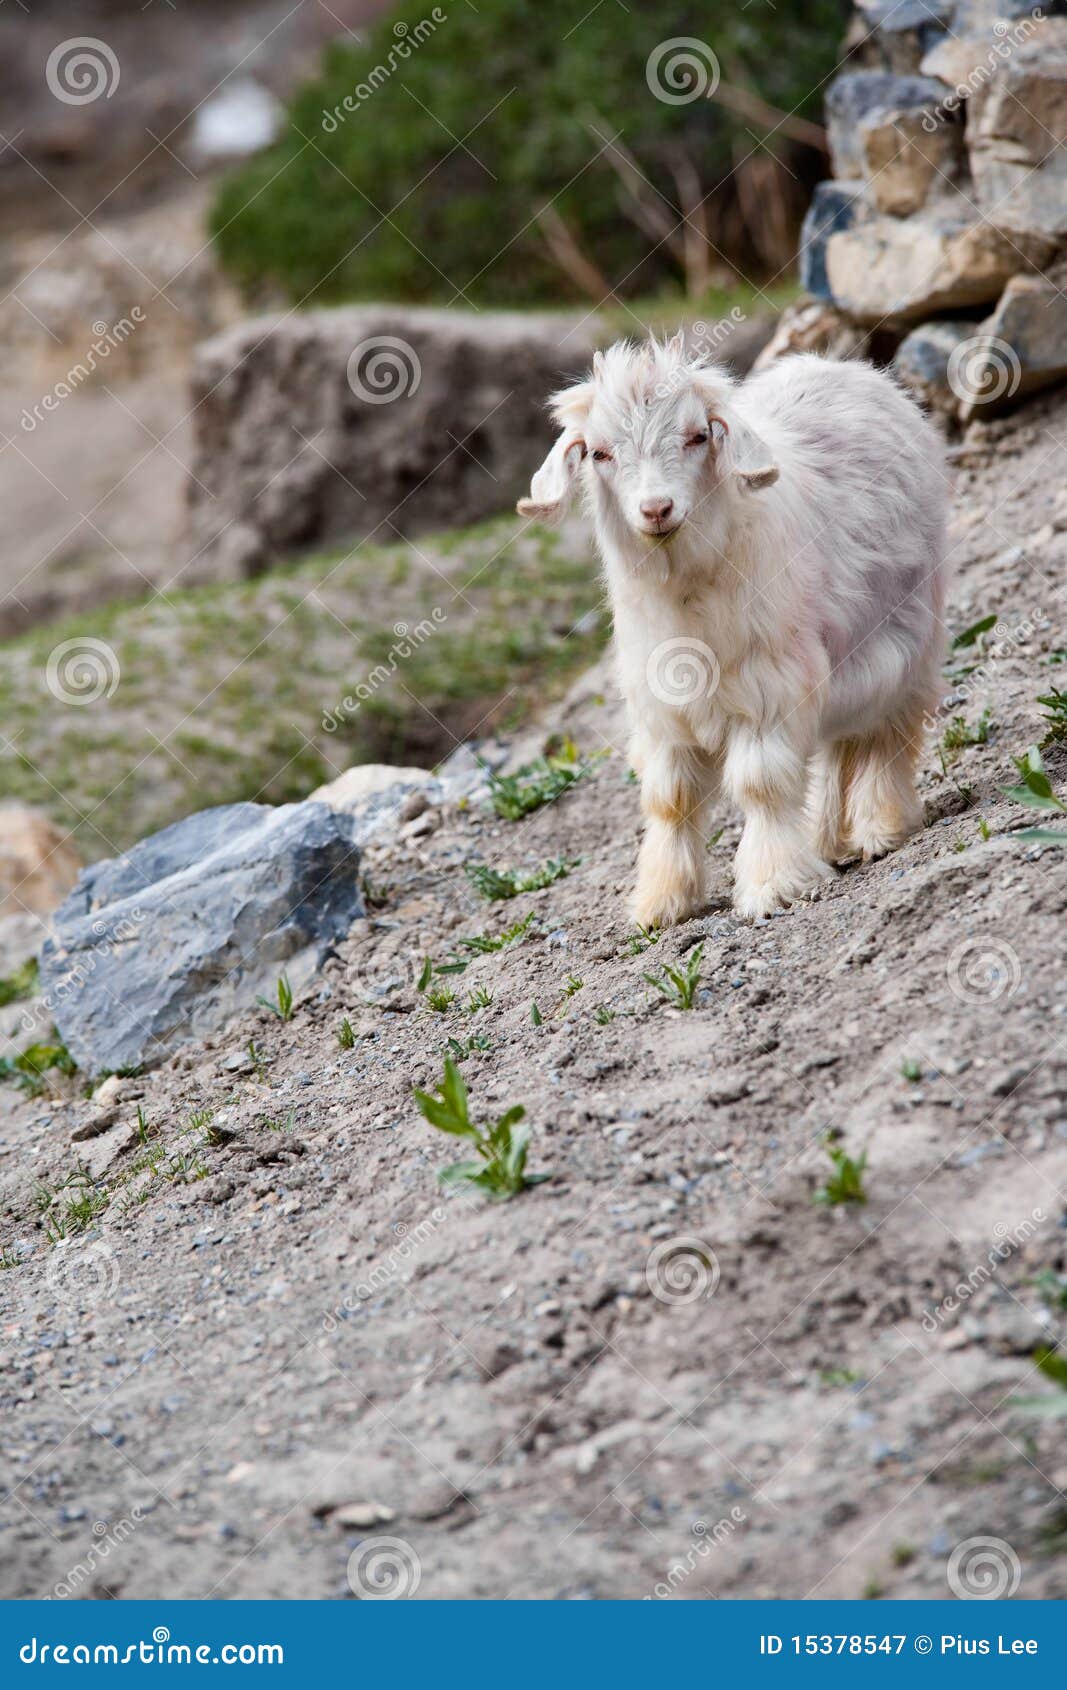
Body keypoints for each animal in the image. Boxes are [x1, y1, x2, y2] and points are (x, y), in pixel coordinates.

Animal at [518, 334, 950, 925]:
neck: (686, 589)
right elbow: (669, 799)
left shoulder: (769, 687)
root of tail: (853, 372)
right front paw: (663, 902)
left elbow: (760, 784)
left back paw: (881, 828)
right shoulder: (661, 711)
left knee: (888, 732)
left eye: (697, 436)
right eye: (600, 453)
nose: (656, 509)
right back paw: (827, 840)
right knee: (839, 745)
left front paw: (774, 884)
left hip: (905, 638)